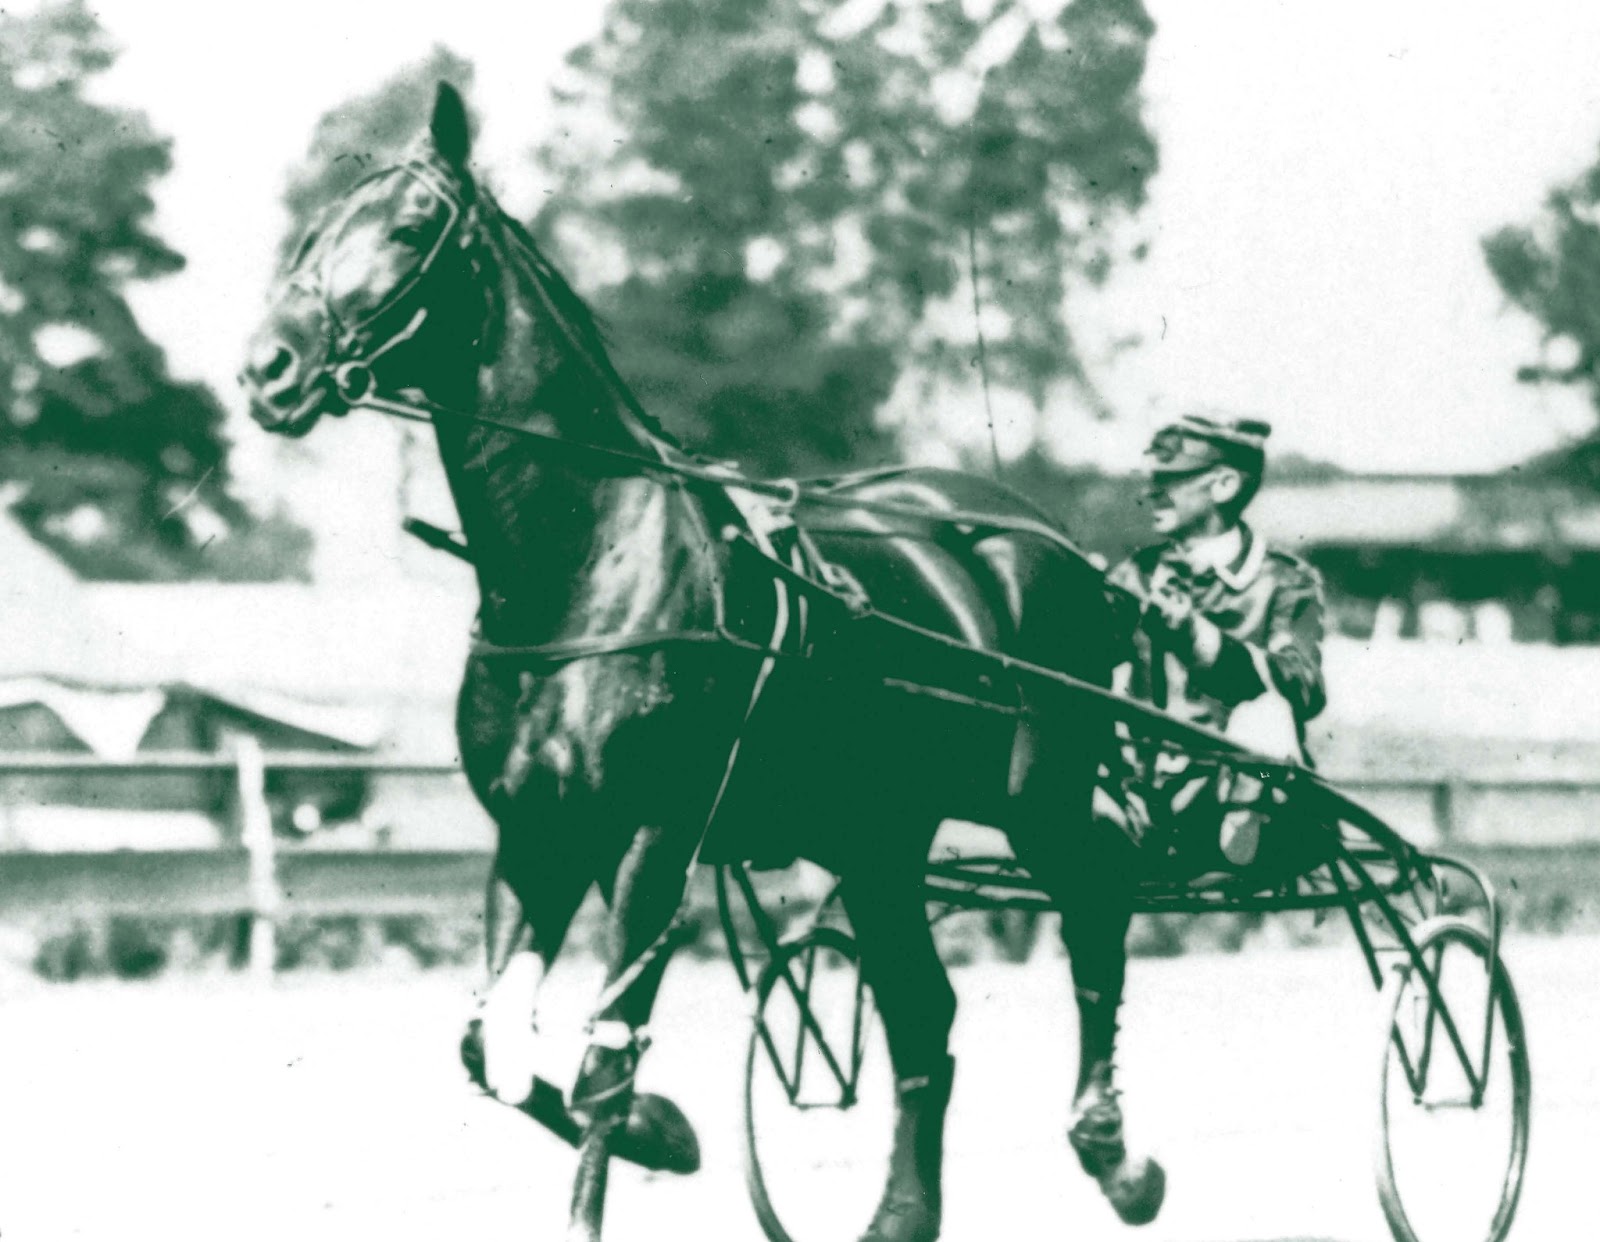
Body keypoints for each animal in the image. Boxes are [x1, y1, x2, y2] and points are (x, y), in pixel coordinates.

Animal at [241, 82, 1164, 1241]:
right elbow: (491, 1048)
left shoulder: (654, 831)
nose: (267, 369)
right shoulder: (539, 831)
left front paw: (633, 1140)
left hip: (1032, 792)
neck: (589, 557)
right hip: (874, 831)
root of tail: (1045, 542)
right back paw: (903, 1213)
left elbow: (603, 1064)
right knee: (923, 1011)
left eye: (410, 230)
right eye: (313, 232)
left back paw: (1114, 1148)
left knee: (1100, 892)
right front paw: (668, 1132)